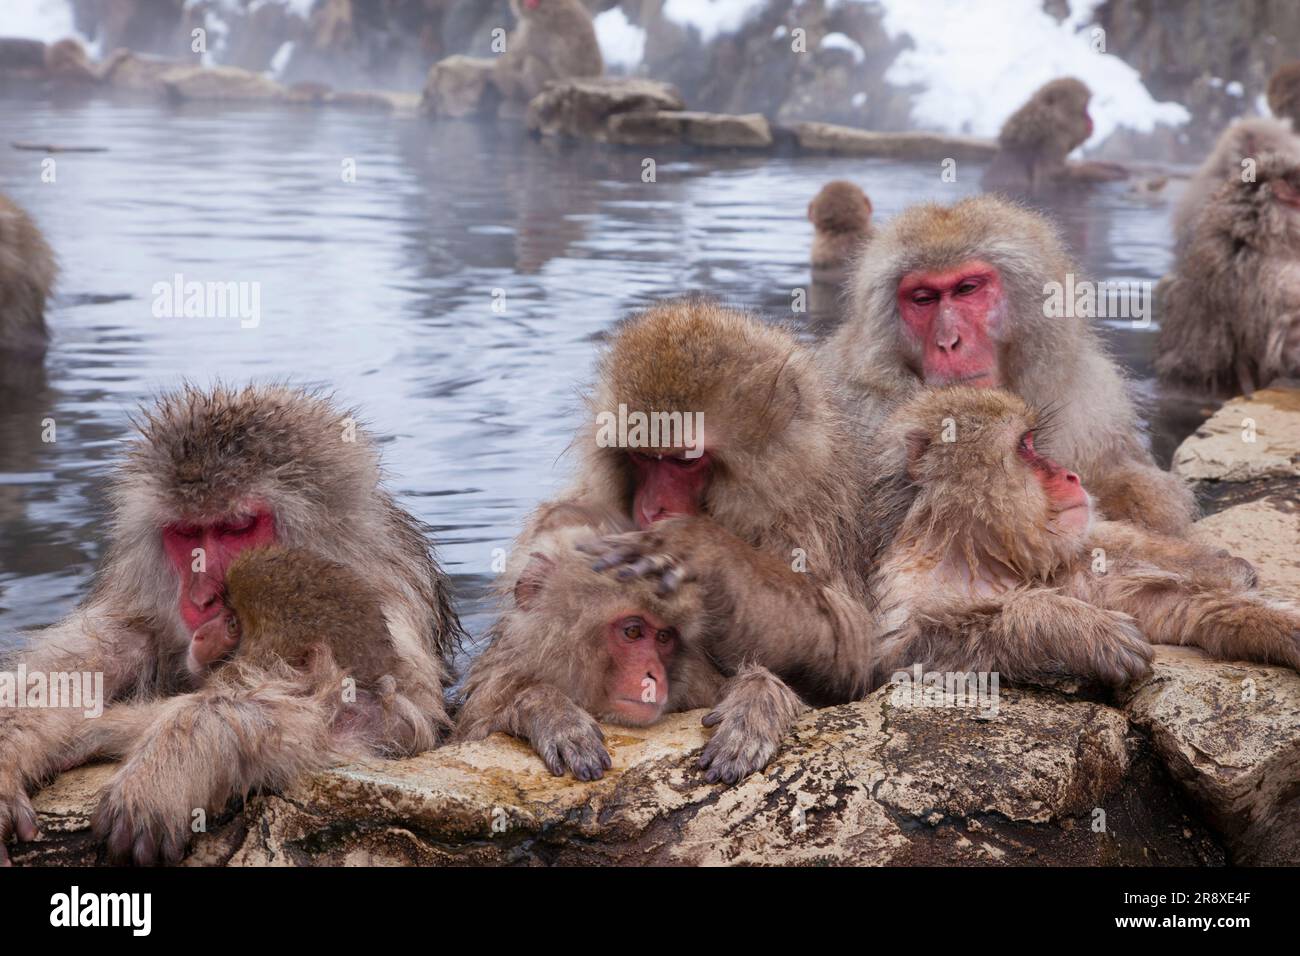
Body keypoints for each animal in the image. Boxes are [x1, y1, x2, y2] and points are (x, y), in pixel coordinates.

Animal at [0, 385, 462, 865]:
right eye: (187, 535)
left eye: (236, 528)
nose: (202, 600)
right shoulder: (139, 614)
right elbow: (63, 673)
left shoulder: (383, 605)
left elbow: (387, 716)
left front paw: (174, 756)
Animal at [454, 514, 804, 784]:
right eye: (633, 631)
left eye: (664, 637)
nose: (654, 674)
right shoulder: (495, 685)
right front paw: (550, 710)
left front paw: (753, 707)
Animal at [865, 386, 1298, 682]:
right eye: (1024, 448)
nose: (1070, 474)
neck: (976, 548)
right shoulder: (905, 586)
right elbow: (909, 653)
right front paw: (1073, 627)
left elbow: (1166, 604)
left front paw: (1221, 575)